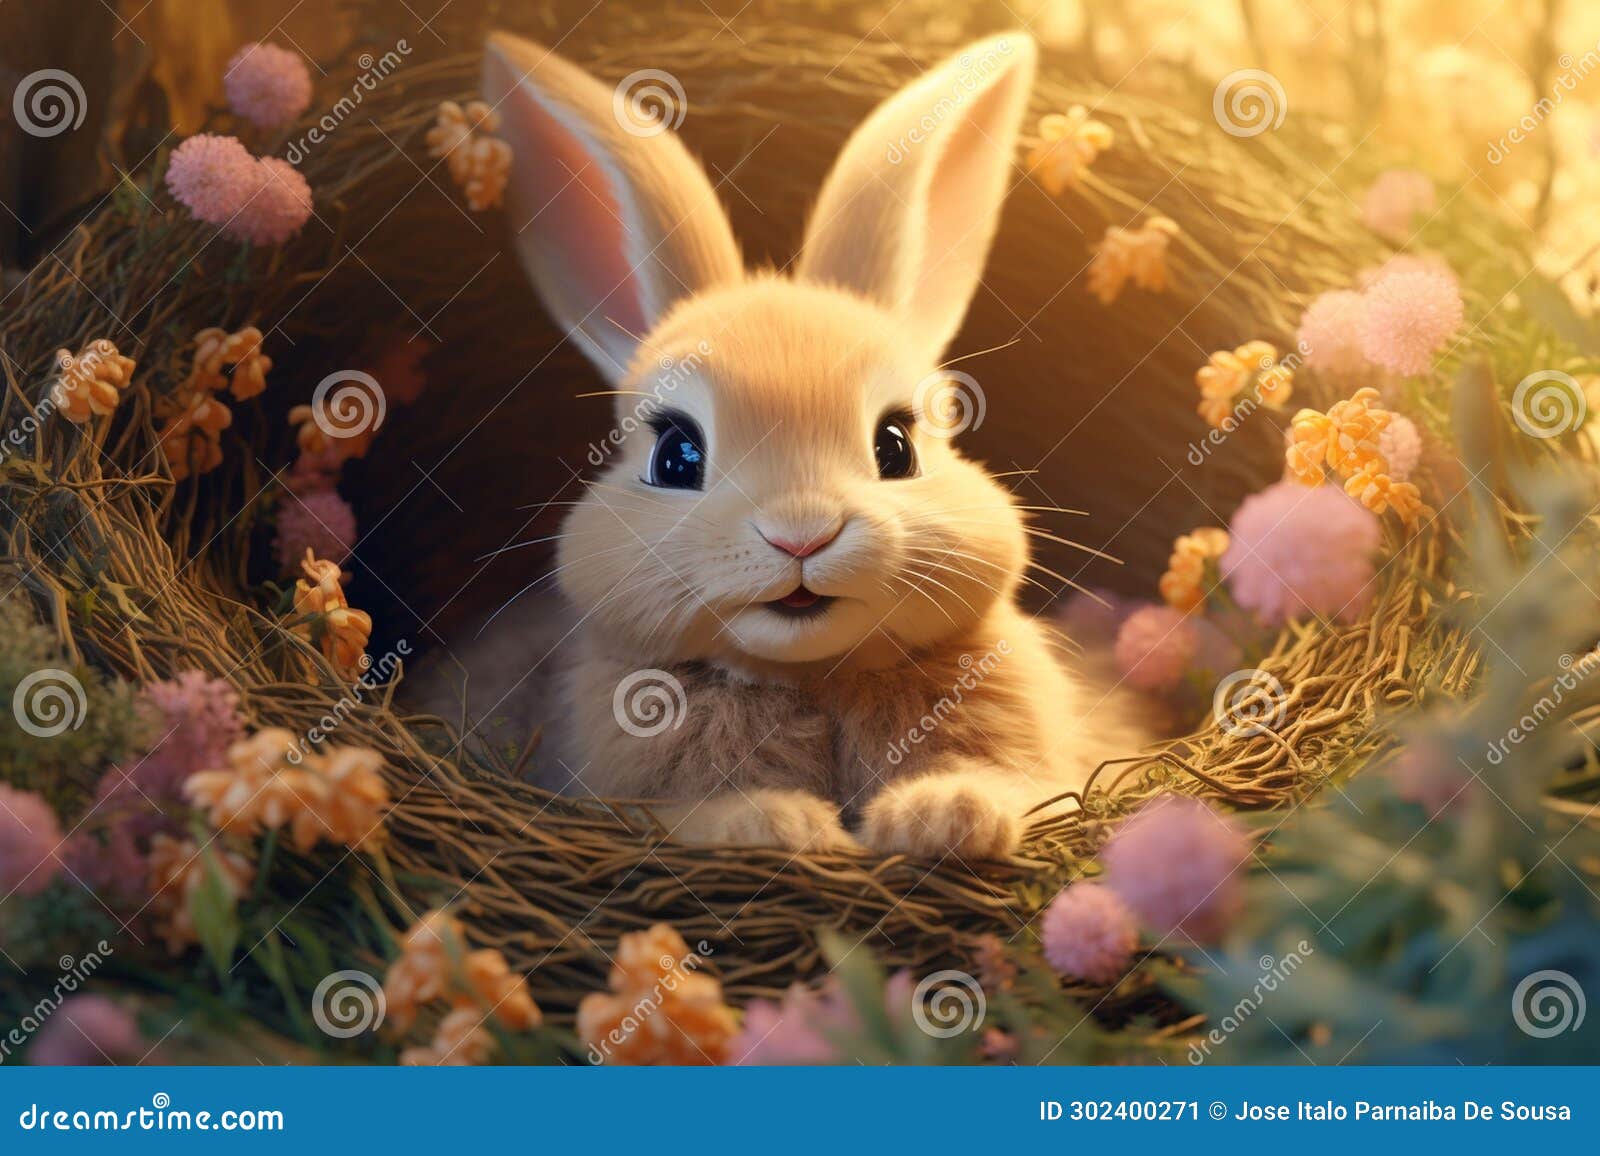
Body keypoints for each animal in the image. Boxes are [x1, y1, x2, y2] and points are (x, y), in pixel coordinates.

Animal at [469, 29, 1143, 860]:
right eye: (675, 456)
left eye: (896, 446)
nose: (801, 535)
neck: (818, 672)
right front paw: (777, 822)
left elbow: (1006, 784)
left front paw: (947, 815)